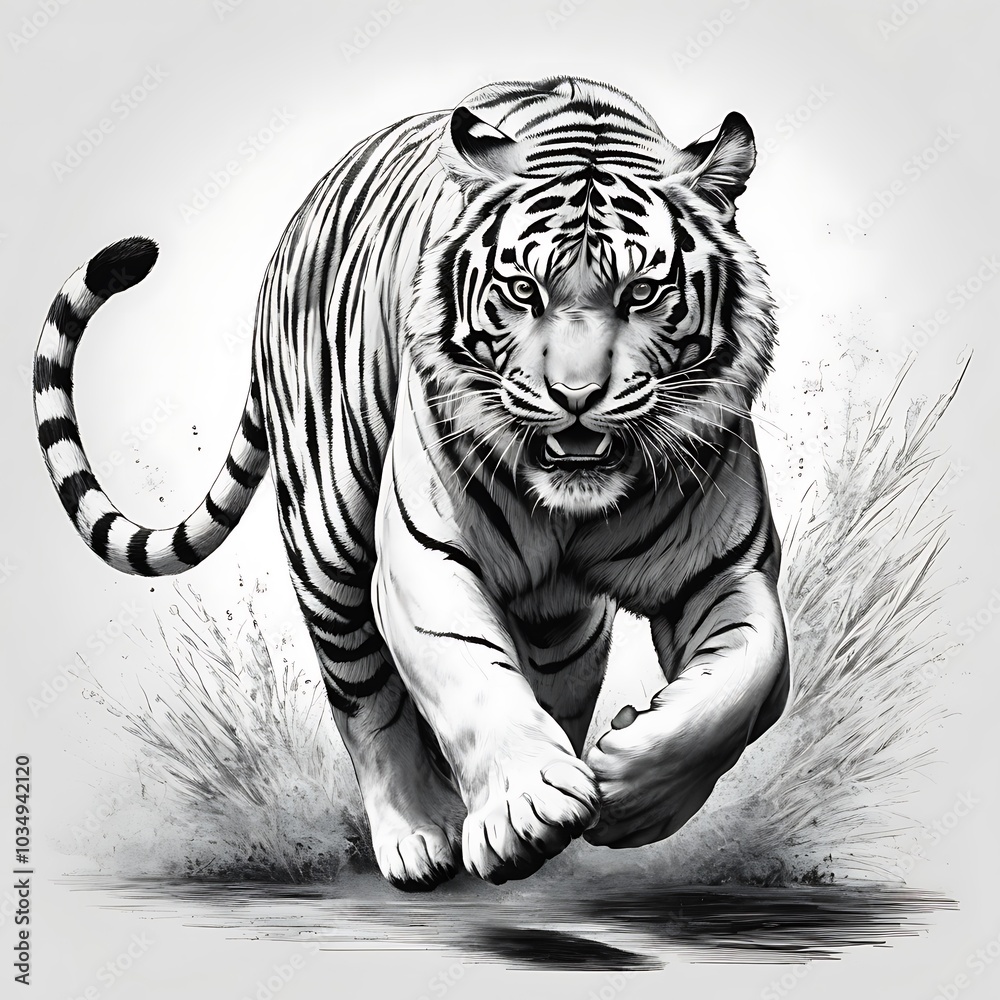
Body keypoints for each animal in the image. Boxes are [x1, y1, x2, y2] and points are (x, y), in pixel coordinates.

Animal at [34, 76, 790, 891]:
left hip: (561, 622)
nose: (575, 395)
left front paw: (633, 786)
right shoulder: (424, 557)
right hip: (329, 542)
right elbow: (468, 670)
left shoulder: (725, 571)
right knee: (366, 700)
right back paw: (421, 835)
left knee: (555, 676)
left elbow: (749, 680)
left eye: (642, 294)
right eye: (523, 290)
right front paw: (526, 807)